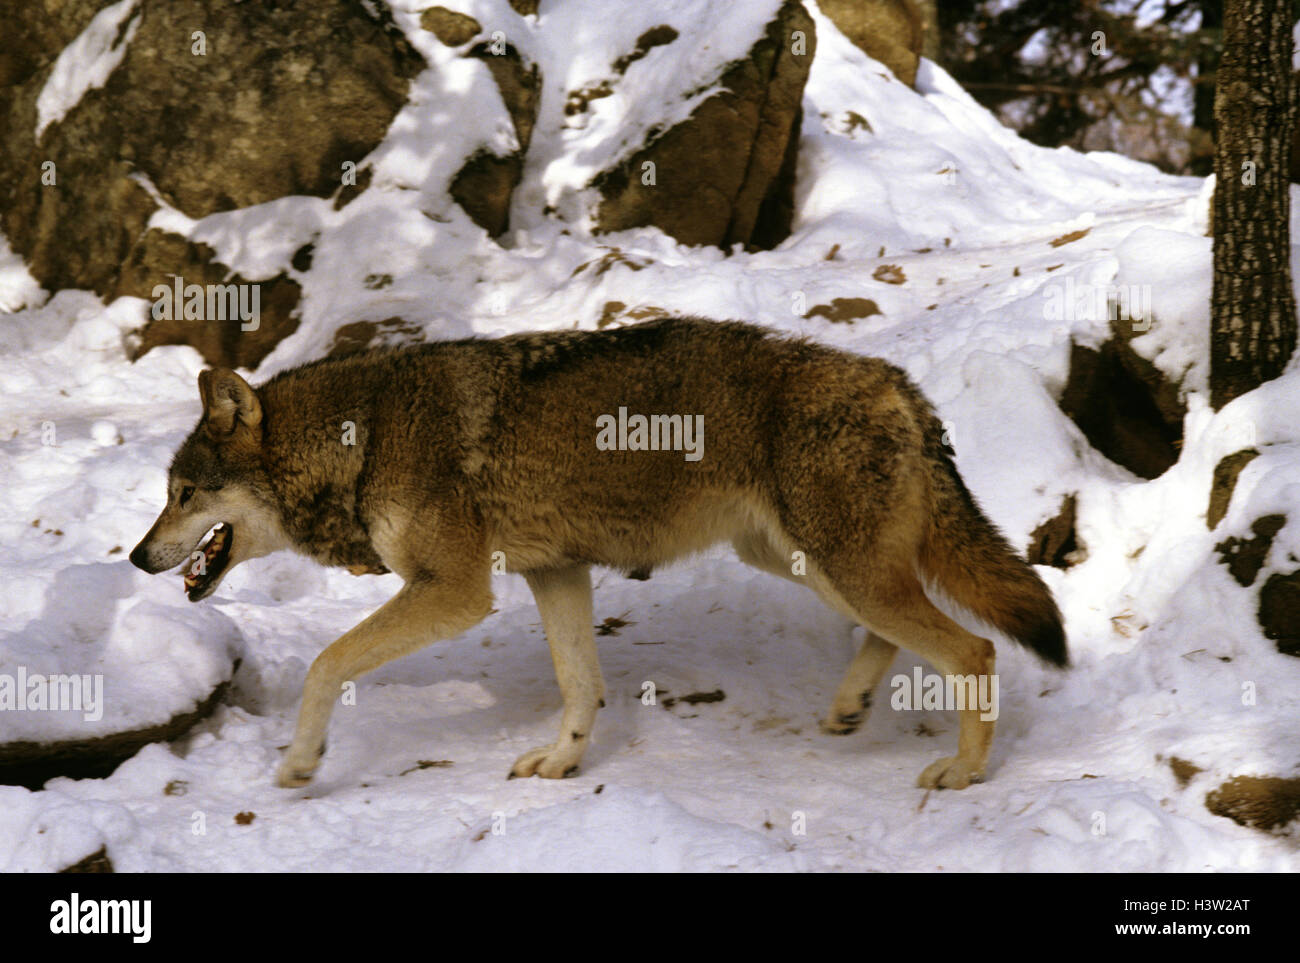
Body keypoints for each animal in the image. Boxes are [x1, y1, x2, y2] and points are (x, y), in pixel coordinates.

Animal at [130, 317, 1067, 790]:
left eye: (185, 493)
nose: (138, 556)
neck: (361, 440)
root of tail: (896, 382)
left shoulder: (456, 590)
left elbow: (327, 663)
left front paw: (298, 762)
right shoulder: (556, 569)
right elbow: (581, 683)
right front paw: (562, 762)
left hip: (844, 567)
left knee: (973, 648)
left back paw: (964, 770)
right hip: (807, 562)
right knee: (899, 636)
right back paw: (848, 707)